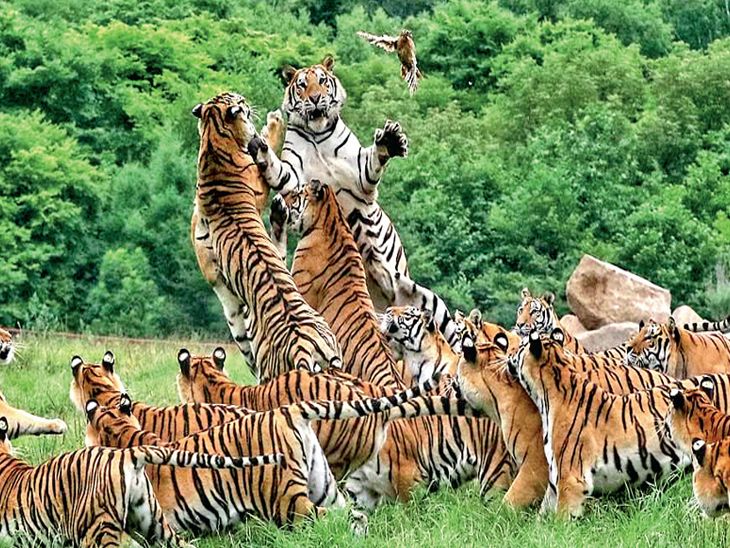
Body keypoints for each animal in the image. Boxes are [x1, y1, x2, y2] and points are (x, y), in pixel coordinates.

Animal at [193, 92, 341, 381]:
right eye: (238, 100)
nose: (246, 100)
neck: (213, 142)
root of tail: (302, 345)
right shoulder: (259, 188)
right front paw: (273, 123)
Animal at [247, 55, 410, 312]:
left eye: (322, 81)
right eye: (303, 85)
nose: (315, 98)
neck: (317, 133)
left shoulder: (360, 173)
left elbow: (373, 160)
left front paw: (391, 140)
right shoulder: (293, 174)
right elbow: (277, 170)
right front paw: (260, 146)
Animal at [508, 329, 690, 518]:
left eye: (521, 346)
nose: (509, 354)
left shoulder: (572, 480)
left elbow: (561, 519)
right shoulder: (554, 479)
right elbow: (542, 516)